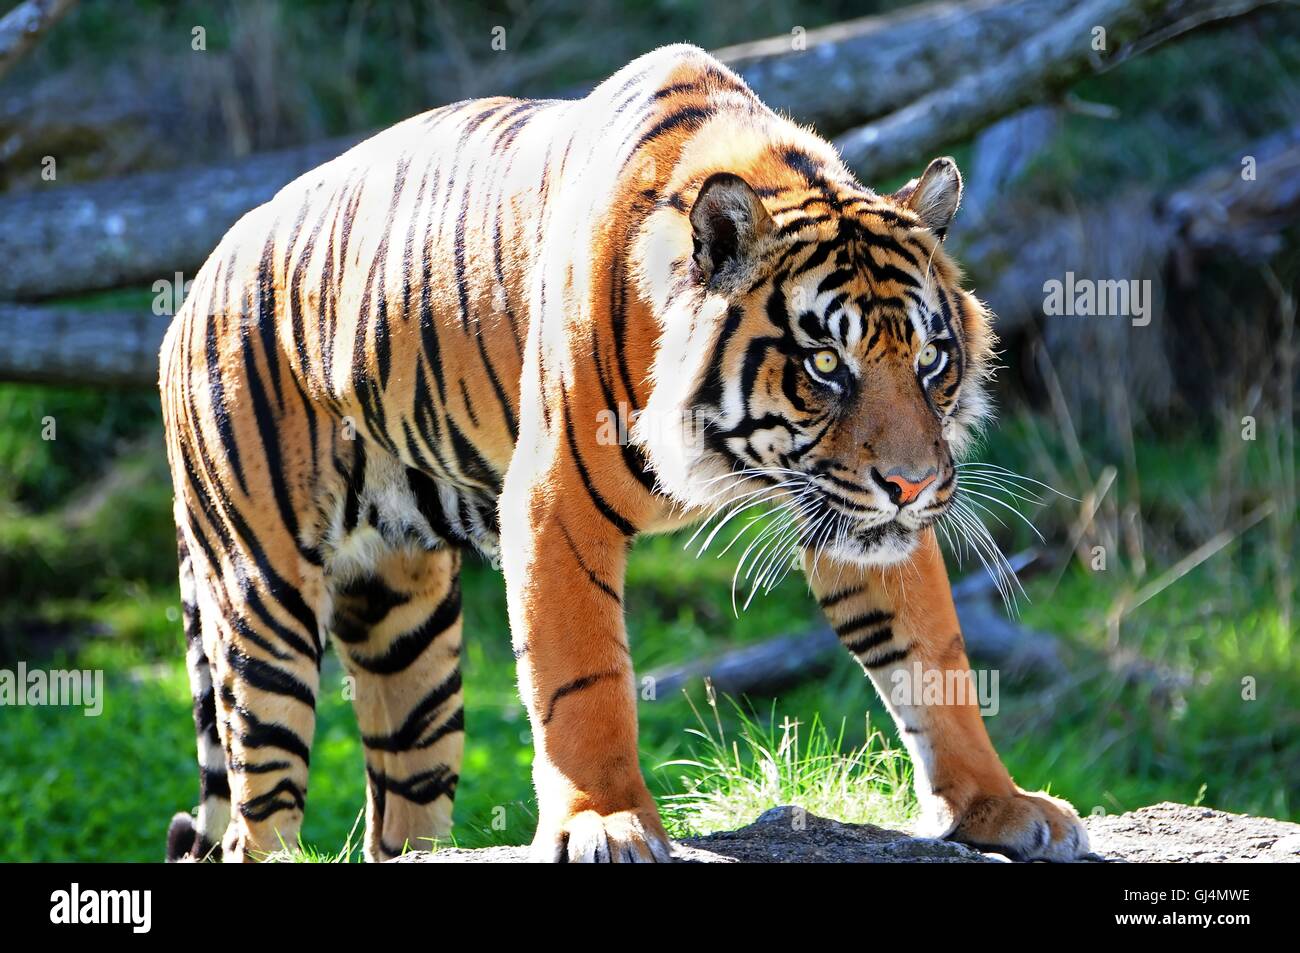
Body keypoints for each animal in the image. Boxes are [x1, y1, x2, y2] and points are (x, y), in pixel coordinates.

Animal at [159, 43, 1089, 863]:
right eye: (827, 364)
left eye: (931, 359)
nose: (913, 483)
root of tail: (195, 285)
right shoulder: (551, 504)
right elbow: (583, 681)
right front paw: (604, 820)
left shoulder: (850, 514)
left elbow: (932, 657)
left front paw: (996, 804)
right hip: (262, 600)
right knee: (253, 819)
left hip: (403, 627)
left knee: (400, 812)